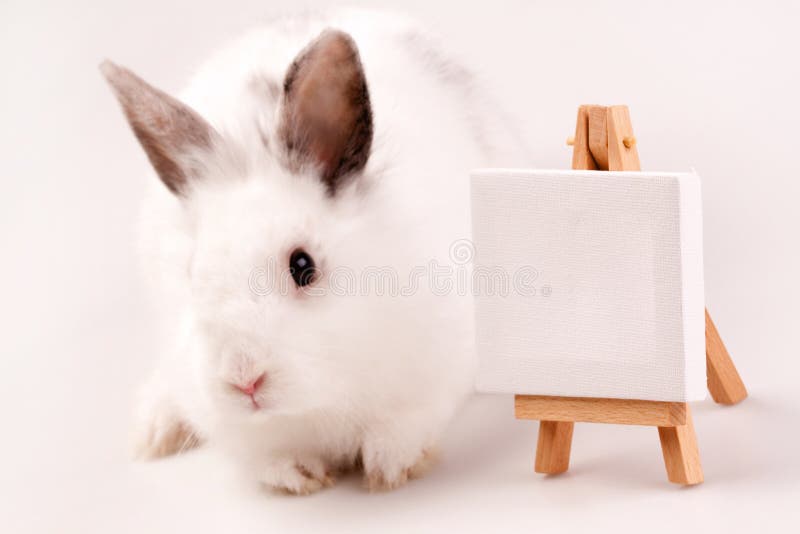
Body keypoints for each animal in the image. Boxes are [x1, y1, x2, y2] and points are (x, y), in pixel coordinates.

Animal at [102, 8, 527, 494]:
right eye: (192, 275)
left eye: (303, 266)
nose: (243, 380)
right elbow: (268, 456)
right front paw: (301, 476)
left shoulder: (436, 370)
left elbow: (402, 428)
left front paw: (387, 470)